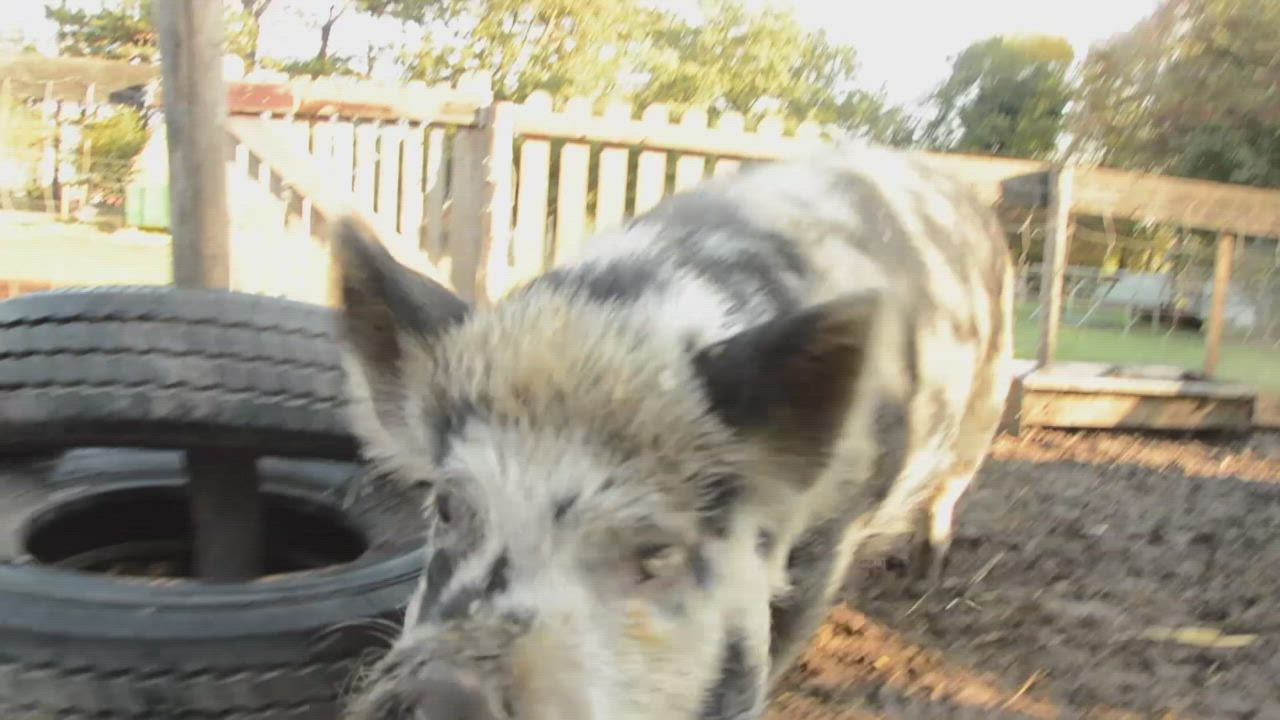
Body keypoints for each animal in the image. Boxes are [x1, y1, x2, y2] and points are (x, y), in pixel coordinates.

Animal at [333, 141, 1014, 720]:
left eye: (656, 550)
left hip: (984, 408)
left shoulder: (829, 538)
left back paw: (925, 575)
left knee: (947, 496)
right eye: (447, 507)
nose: (445, 689)